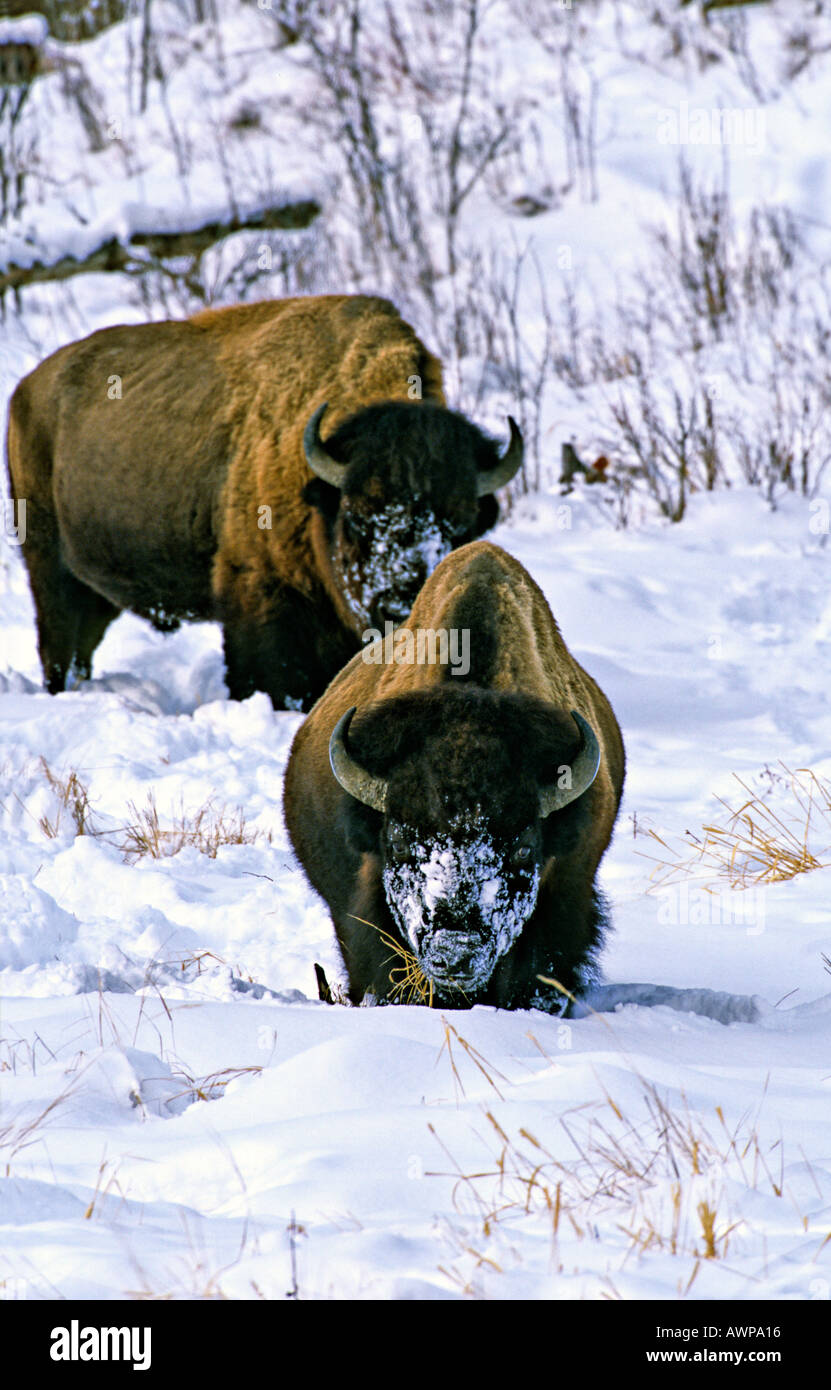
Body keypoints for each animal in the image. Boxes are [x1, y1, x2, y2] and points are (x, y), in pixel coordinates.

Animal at [5, 294, 521, 709]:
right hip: (48, 564)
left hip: (95, 587)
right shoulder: (263, 597)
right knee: (58, 642)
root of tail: (26, 389)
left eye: (459, 525)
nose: (401, 602)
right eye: (357, 517)